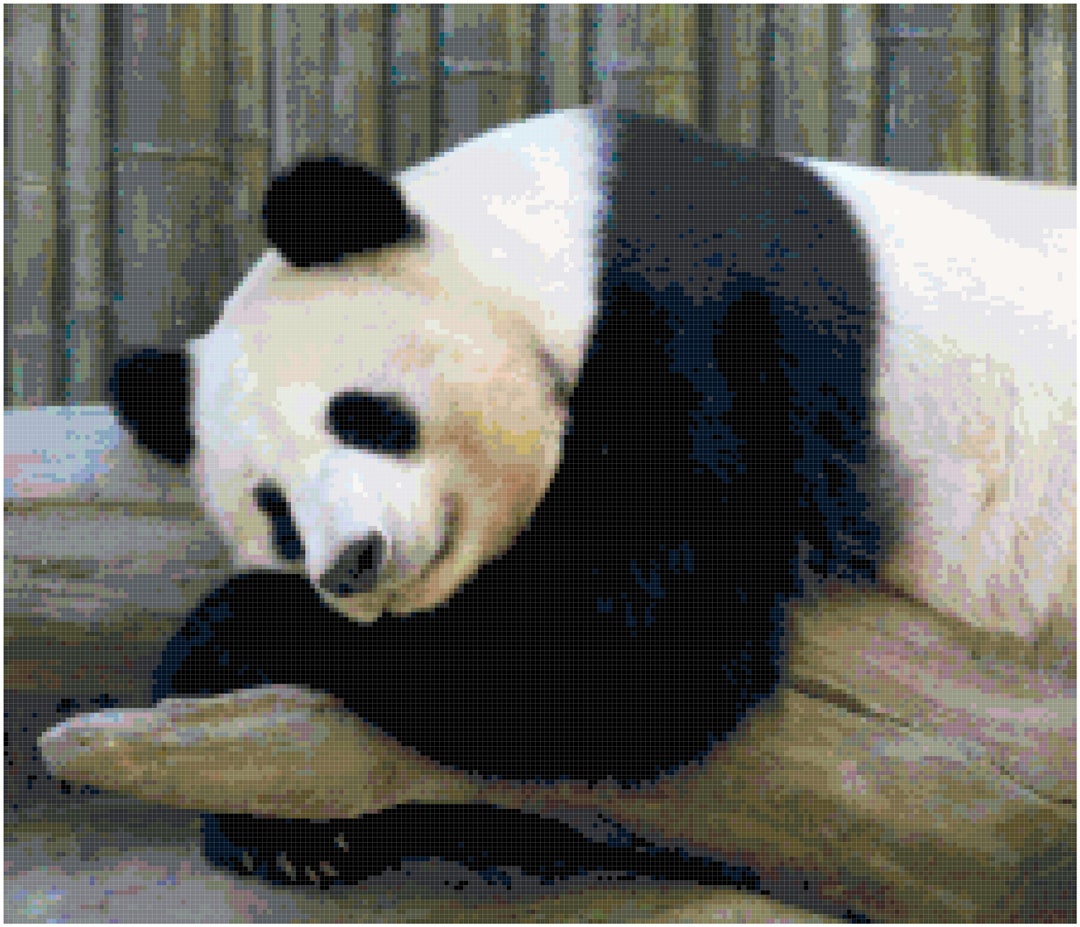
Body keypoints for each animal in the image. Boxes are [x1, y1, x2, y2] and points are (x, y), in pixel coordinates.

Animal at [107, 108, 1072, 891]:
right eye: (273, 509)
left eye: (366, 417)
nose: (352, 563)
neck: (545, 243)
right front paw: (289, 833)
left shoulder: (705, 325)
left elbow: (631, 652)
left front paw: (219, 642)